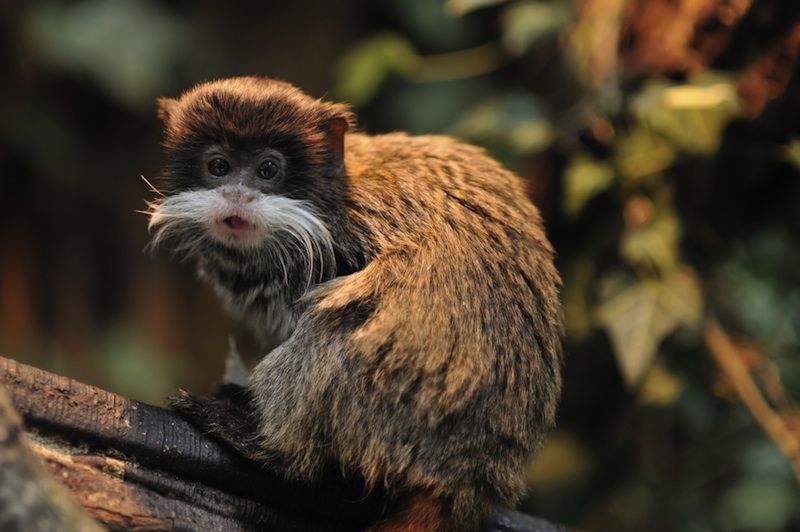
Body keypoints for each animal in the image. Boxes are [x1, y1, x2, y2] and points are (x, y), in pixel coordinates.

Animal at [147, 76, 562, 531]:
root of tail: (471, 479)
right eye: (218, 167)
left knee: (334, 327)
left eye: (268, 169)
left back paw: (270, 447)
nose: (236, 196)